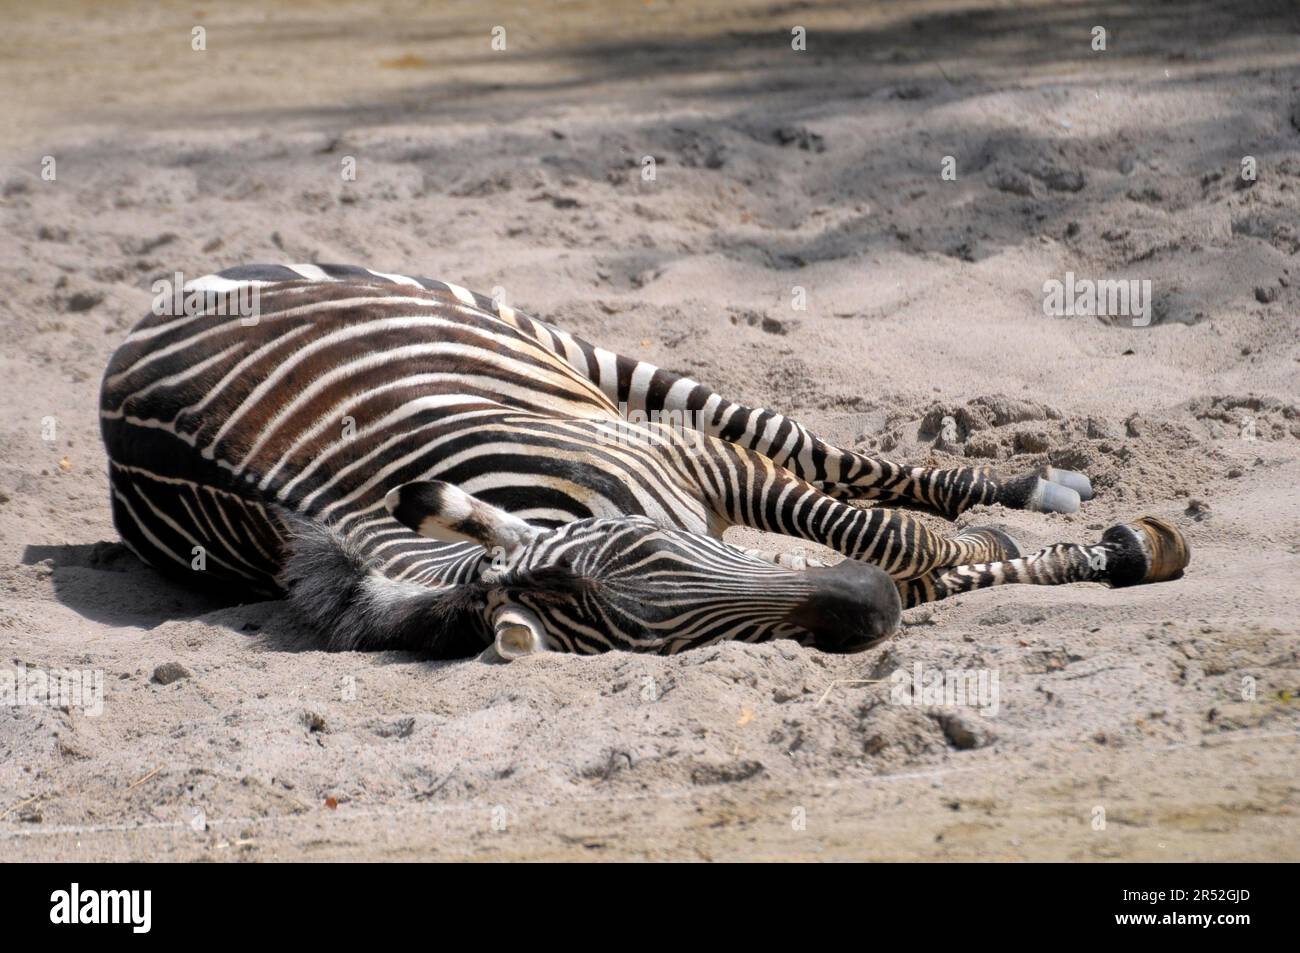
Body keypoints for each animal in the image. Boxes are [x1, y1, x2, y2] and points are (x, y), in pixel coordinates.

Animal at [99, 264, 1190, 658]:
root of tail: (145, 319)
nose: (861, 613)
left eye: (656, 549)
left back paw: (1024, 485)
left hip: (560, 347)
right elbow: (908, 567)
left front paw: (1051, 538)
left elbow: (882, 533)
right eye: (670, 643)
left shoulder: (699, 464)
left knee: (811, 445)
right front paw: (1069, 556)